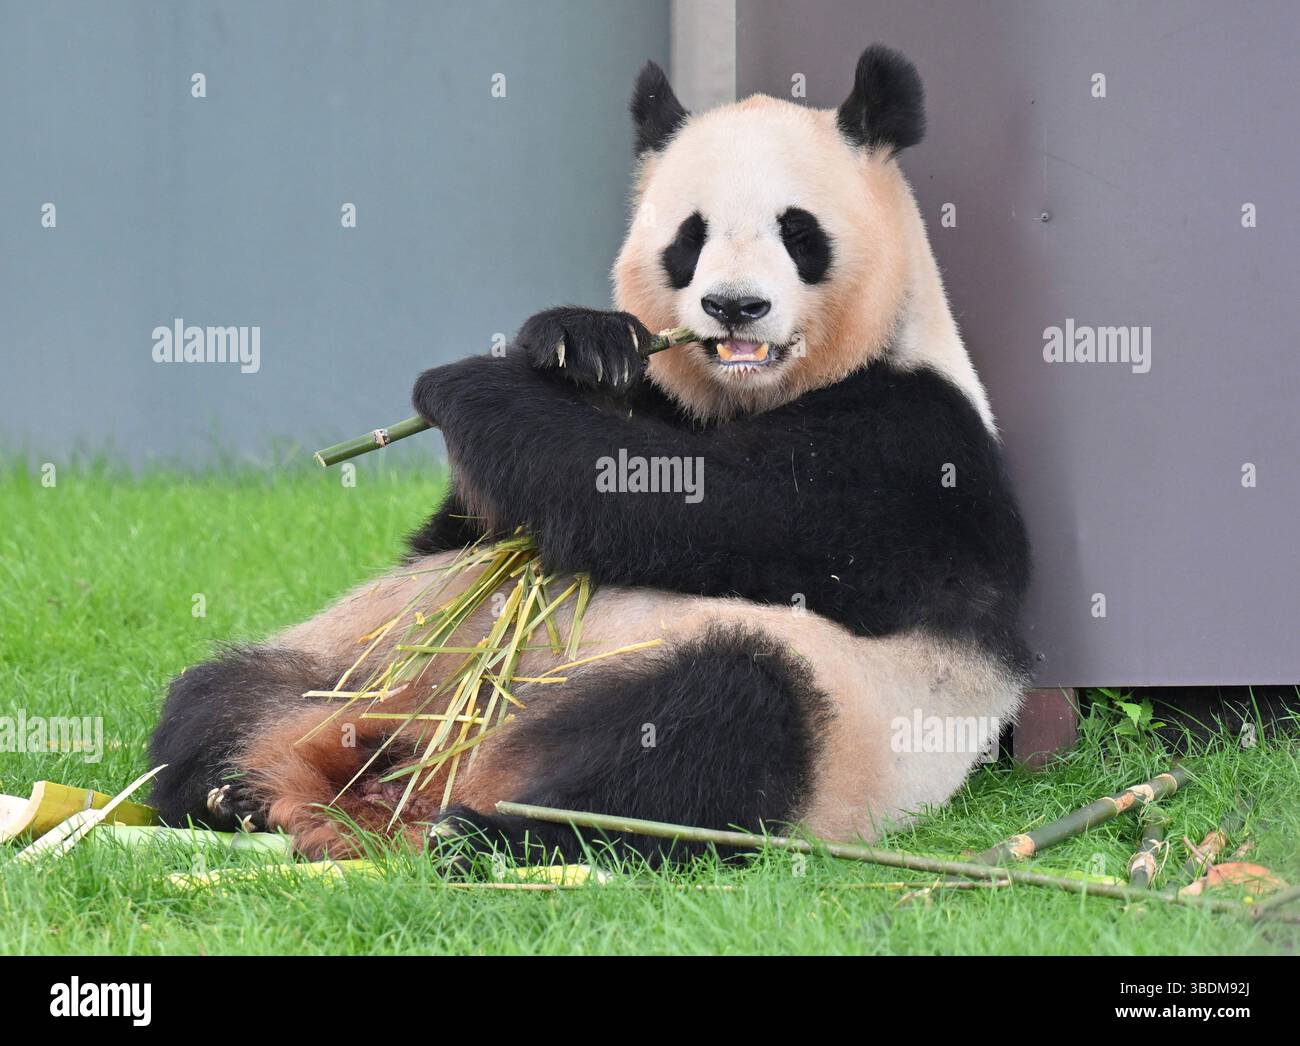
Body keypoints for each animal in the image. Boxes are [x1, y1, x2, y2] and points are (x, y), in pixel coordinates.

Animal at [149, 44, 1031, 863]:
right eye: (690, 237)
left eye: (798, 231)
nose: (734, 306)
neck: (742, 396)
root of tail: (427, 778)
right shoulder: (653, 408)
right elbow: (459, 533)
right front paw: (578, 342)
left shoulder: (913, 446)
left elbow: (706, 505)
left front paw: (471, 384)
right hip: (361, 656)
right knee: (222, 694)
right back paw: (241, 790)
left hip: (834, 715)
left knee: (710, 726)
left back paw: (491, 834)